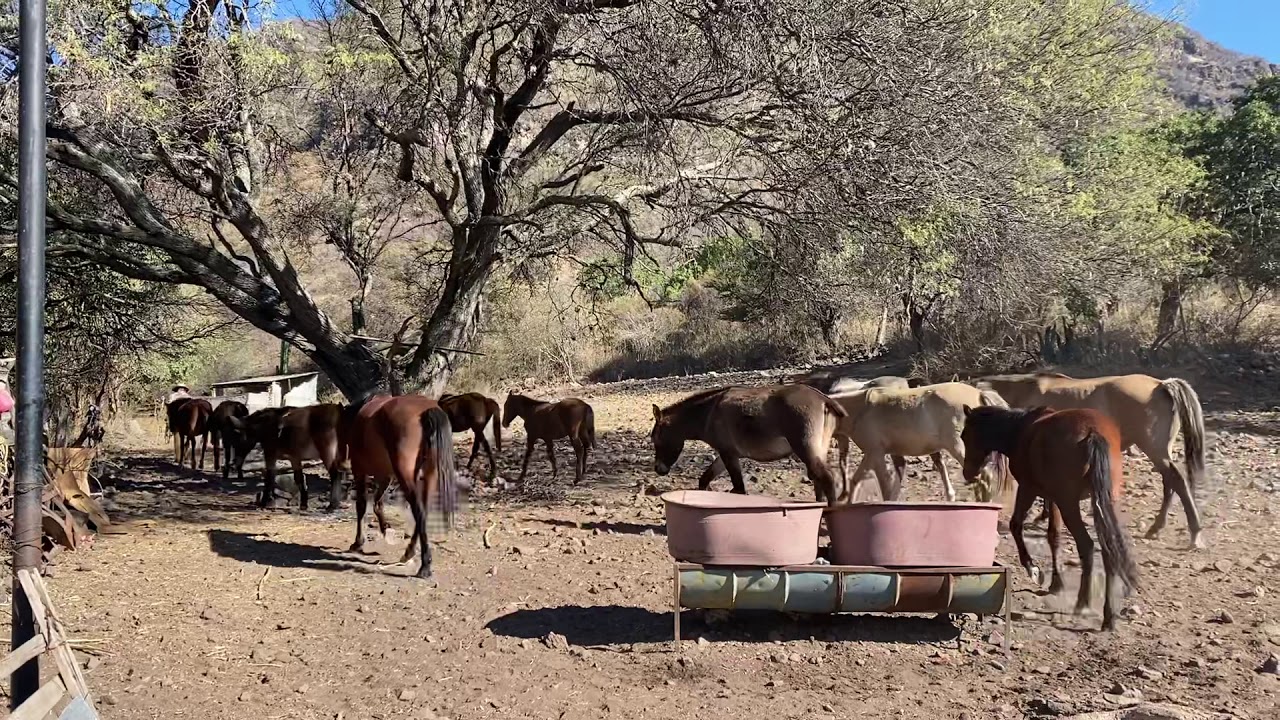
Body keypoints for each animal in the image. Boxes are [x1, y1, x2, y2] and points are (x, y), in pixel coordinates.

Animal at [339, 393, 459, 581]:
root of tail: (426, 410)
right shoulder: (385, 475)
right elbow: (377, 503)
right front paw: (385, 529)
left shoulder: (360, 471)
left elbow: (362, 505)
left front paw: (358, 542)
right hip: (429, 476)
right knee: (423, 510)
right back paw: (409, 552)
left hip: (405, 475)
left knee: (419, 510)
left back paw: (425, 566)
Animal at [649, 384, 846, 504]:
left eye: (655, 439)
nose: (658, 469)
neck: (708, 413)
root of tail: (823, 399)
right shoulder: (726, 454)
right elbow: (705, 479)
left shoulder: (728, 455)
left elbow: (739, 489)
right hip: (818, 450)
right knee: (818, 480)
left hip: (806, 449)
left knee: (827, 478)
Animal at [830, 382, 1008, 503]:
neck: (861, 408)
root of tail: (979, 394)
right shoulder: (891, 455)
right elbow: (863, 480)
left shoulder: (874, 453)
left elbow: (882, 484)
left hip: (959, 448)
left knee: (984, 476)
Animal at [960, 405, 1141, 631]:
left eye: (964, 435)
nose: (968, 474)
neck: (1020, 430)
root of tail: (1092, 433)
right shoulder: (1053, 498)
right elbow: (1053, 535)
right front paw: (1056, 583)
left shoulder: (1029, 489)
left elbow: (1016, 525)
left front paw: (1034, 570)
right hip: (1102, 502)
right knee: (1108, 550)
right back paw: (1109, 617)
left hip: (1070, 504)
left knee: (1087, 545)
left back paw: (1083, 603)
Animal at [977, 372, 1207, 548]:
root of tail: (1161, 385)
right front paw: (1043, 514)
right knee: (1169, 483)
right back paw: (1156, 528)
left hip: (1154, 449)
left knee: (1177, 481)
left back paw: (1194, 532)